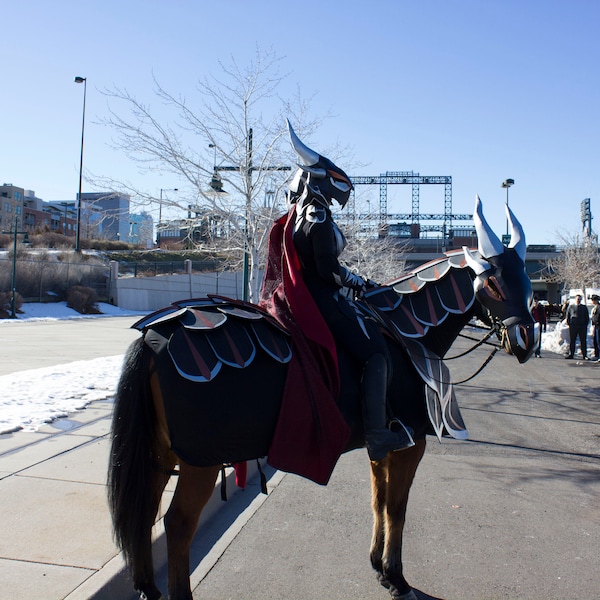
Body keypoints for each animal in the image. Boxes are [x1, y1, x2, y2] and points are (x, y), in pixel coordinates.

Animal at [109, 198, 540, 600]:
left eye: (528, 282)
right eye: (493, 285)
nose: (525, 341)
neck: (406, 333)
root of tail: (153, 336)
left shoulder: (382, 444)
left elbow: (378, 501)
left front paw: (378, 567)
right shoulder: (411, 443)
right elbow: (397, 509)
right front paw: (397, 578)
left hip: (160, 456)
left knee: (145, 513)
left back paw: (148, 588)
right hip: (200, 462)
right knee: (177, 524)